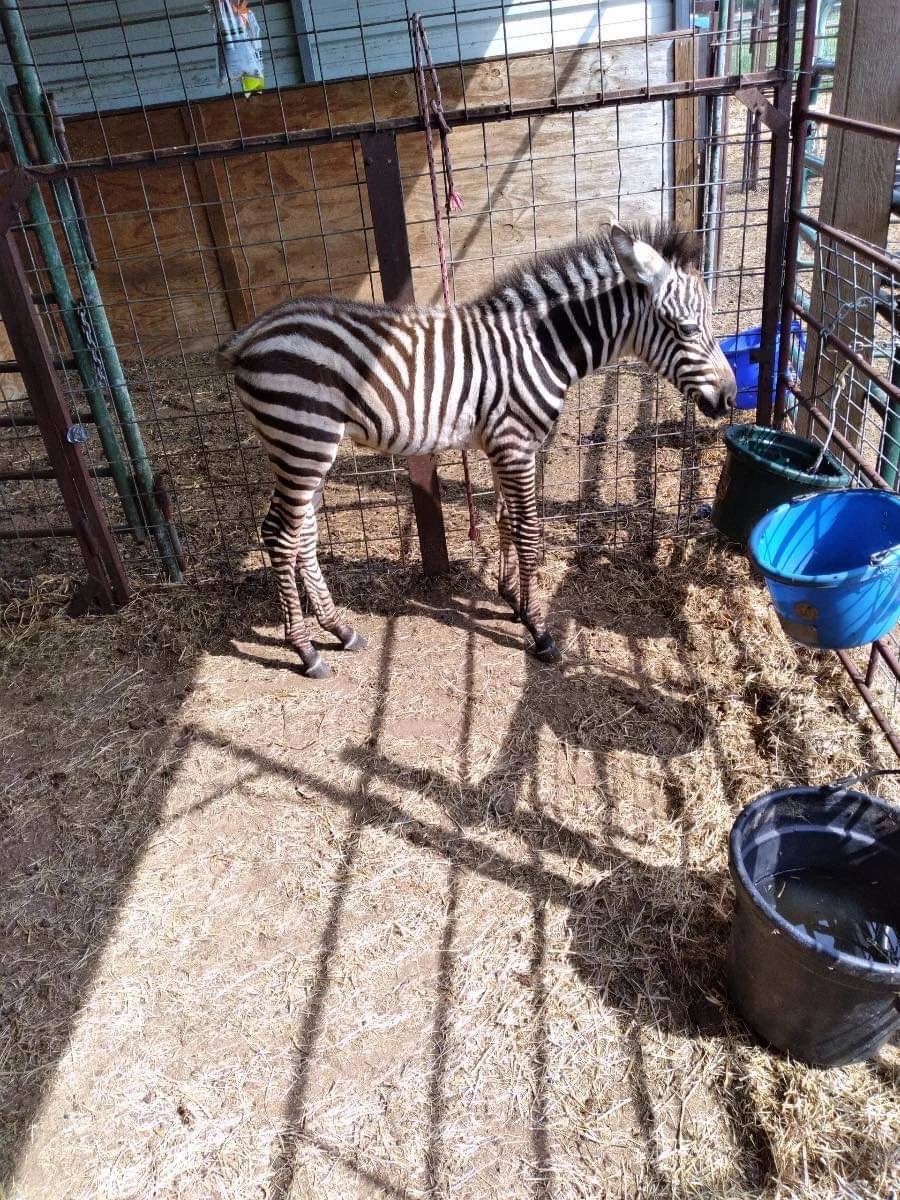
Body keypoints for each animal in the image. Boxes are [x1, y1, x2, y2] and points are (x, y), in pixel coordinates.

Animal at [218, 221, 737, 678]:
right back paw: (305, 650)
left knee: (302, 533)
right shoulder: (515, 444)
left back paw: (340, 630)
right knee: (280, 534)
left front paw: (512, 600)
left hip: (302, 445)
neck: (543, 348)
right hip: (303, 437)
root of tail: (251, 334)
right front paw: (539, 631)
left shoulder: (501, 446)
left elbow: (506, 521)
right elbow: (528, 533)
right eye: (686, 329)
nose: (731, 399)